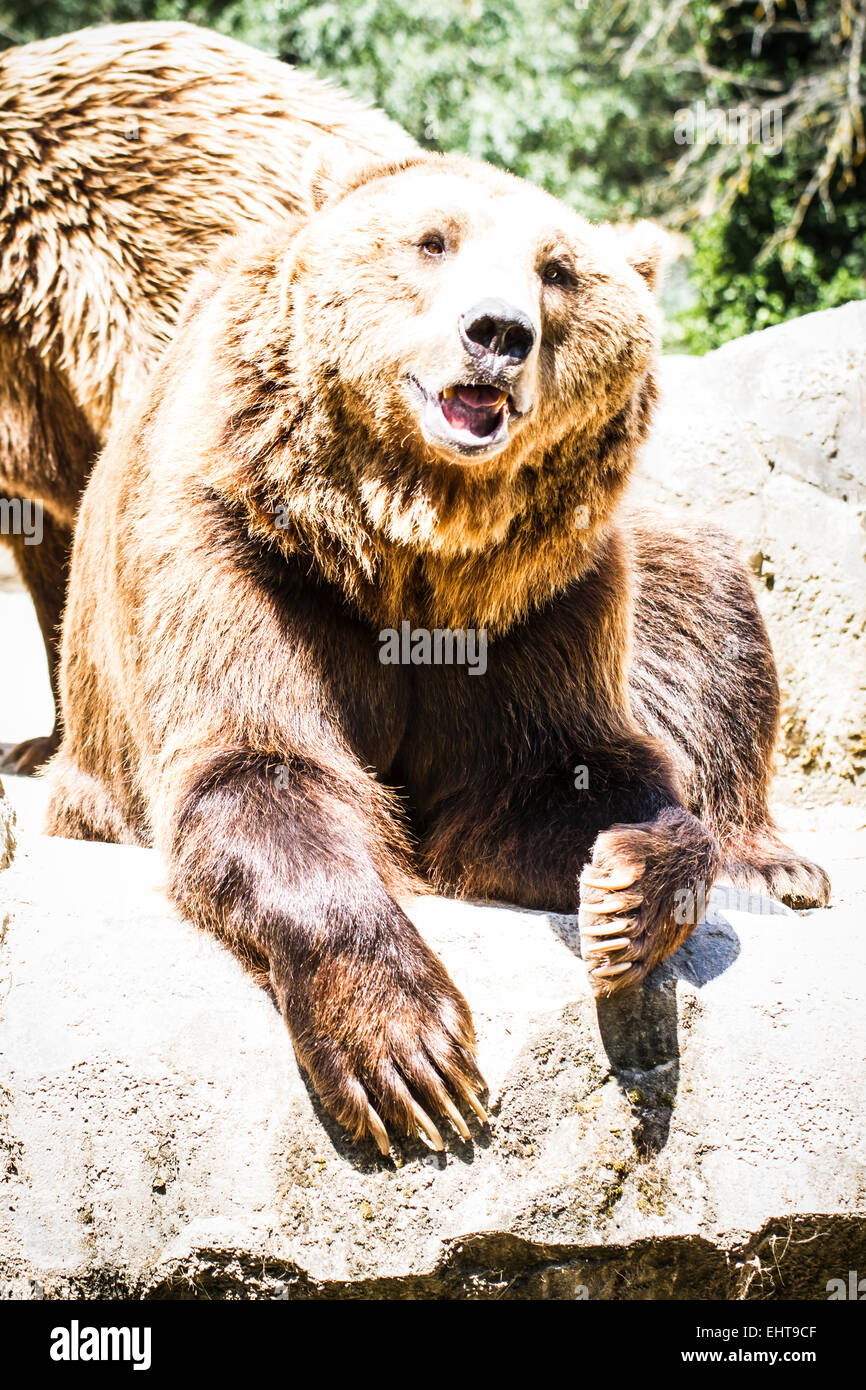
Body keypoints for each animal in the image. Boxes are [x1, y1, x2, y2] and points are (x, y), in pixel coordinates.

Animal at [45, 151, 830, 1153]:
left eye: (558, 270)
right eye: (431, 241)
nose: (497, 332)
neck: (409, 551)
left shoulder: (541, 600)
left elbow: (554, 777)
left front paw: (623, 896)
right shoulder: (239, 540)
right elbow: (261, 764)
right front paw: (408, 1051)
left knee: (714, 617)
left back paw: (772, 862)